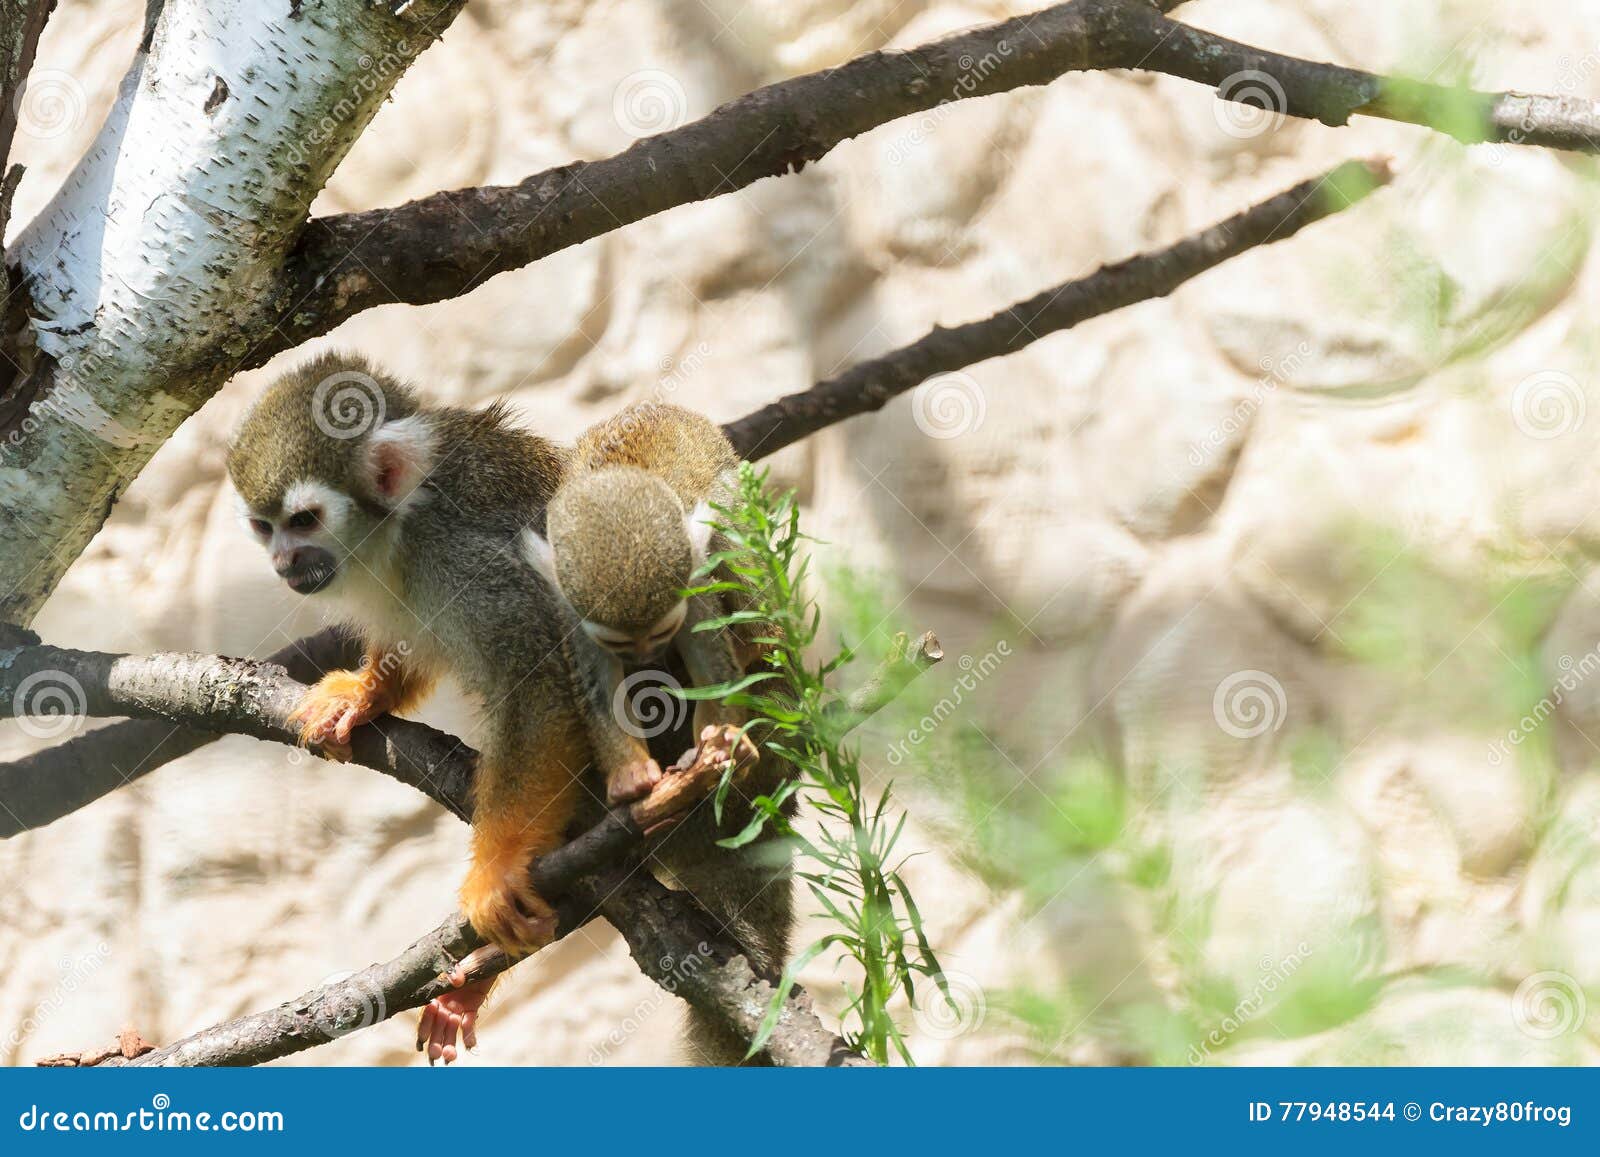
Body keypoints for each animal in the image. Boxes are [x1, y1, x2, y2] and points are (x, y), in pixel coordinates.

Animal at [227, 351, 667, 1063]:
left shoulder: (468, 555)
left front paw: (499, 867)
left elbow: (541, 676)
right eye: (264, 528)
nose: (282, 562)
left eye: (304, 521)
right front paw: (363, 695)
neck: (403, 525)